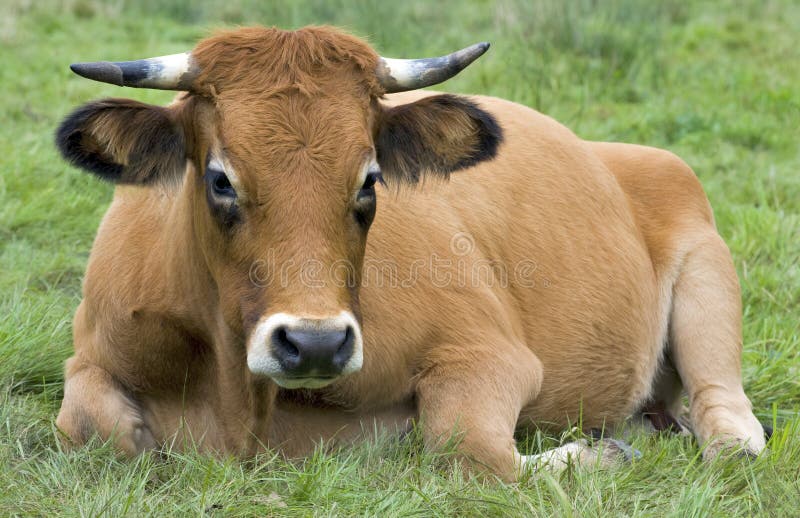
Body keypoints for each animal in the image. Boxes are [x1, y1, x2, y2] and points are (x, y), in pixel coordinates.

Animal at [54, 26, 766, 481]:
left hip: (706, 269)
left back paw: (724, 445)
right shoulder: (91, 356)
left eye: (370, 179)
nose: (314, 344)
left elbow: (469, 449)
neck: (239, 407)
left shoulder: (487, 350)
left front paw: (599, 455)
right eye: (220, 179)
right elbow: (94, 426)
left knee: (721, 400)